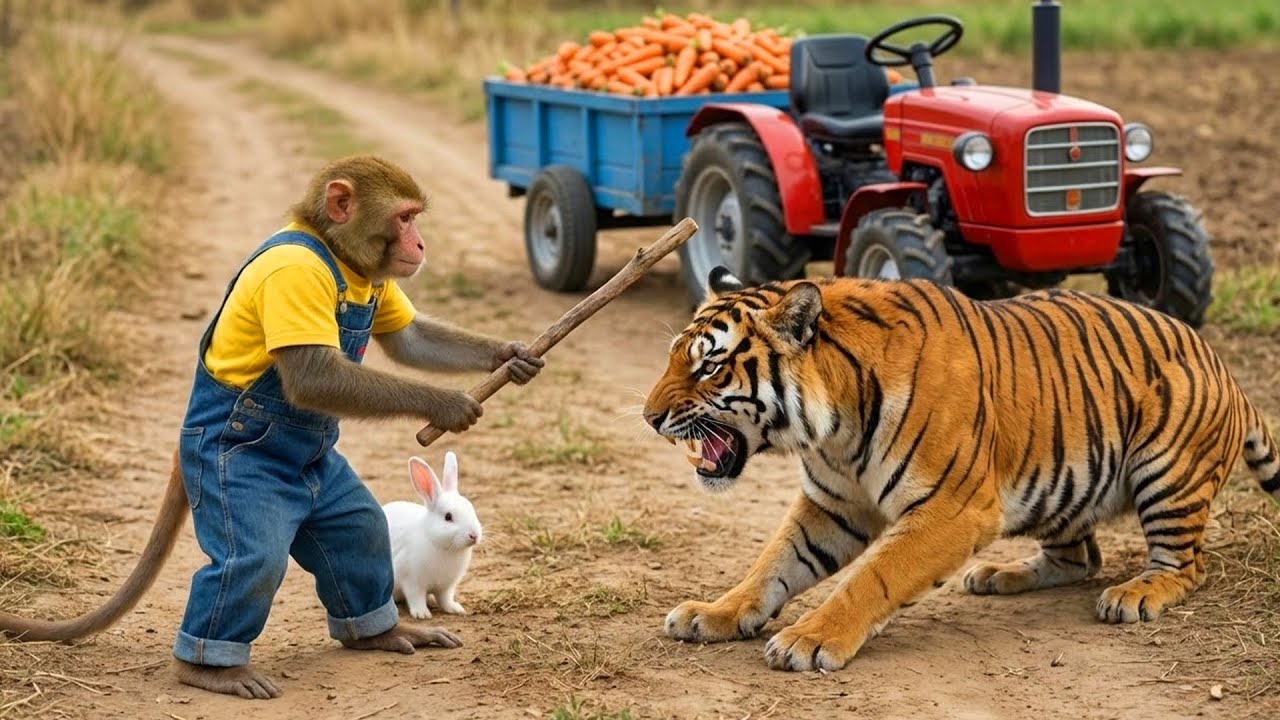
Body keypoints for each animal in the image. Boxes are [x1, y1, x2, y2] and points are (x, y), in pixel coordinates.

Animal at [0, 155, 544, 700]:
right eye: (405, 218)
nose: (420, 244)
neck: (336, 254)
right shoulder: (293, 280)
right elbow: (313, 377)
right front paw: (449, 403)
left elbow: (407, 337)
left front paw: (511, 356)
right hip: (227, 474)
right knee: (252, 561)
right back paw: (211, 668)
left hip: (326, 489)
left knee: (357, 533)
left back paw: (379, 633)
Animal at [642, 266, 1280, 673]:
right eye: (674, 357)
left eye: (709, 367)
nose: (649, 417)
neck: (832, 431)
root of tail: (1227, 373)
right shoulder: (833, 505)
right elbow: (771, 564)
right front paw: (714, 614)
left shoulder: (952, 511)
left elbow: (872, 578)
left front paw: (808, 638)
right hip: (1060, 485)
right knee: (1080, 558)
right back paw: (1000, 575)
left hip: (1166, 472)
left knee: (1185, 565)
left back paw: (1134, 594)